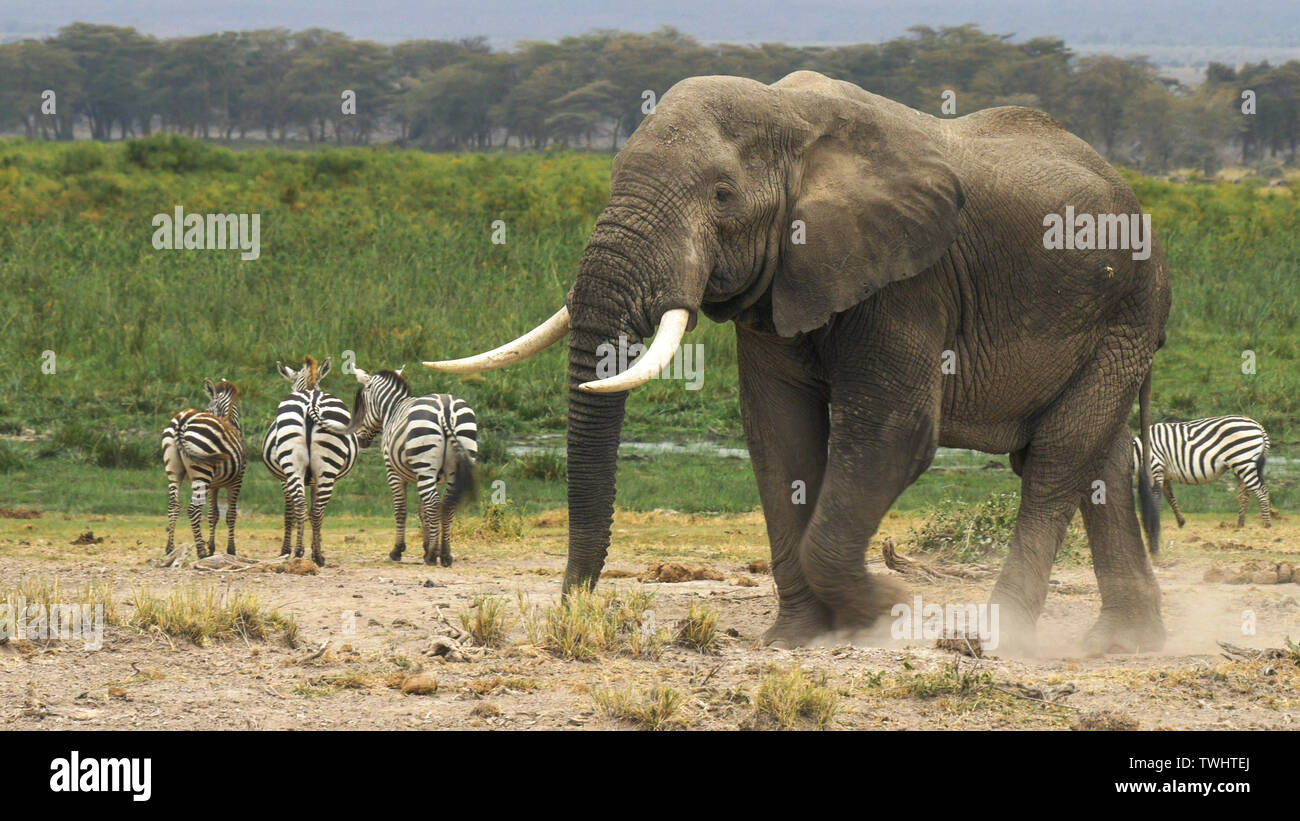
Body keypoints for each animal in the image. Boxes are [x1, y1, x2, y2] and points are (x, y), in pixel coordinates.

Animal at [427, 70, 1171, 655]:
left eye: (721, 195)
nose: (576, 605)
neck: (788, 115)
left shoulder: (908, 281)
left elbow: (893, 433)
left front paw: (899, 612)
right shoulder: (783, 277)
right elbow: (778, 430)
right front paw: (798, 638)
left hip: (1127, 313)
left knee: (1055, 460)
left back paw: (997, 637)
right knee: (1099, 462)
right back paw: (1124, 643)